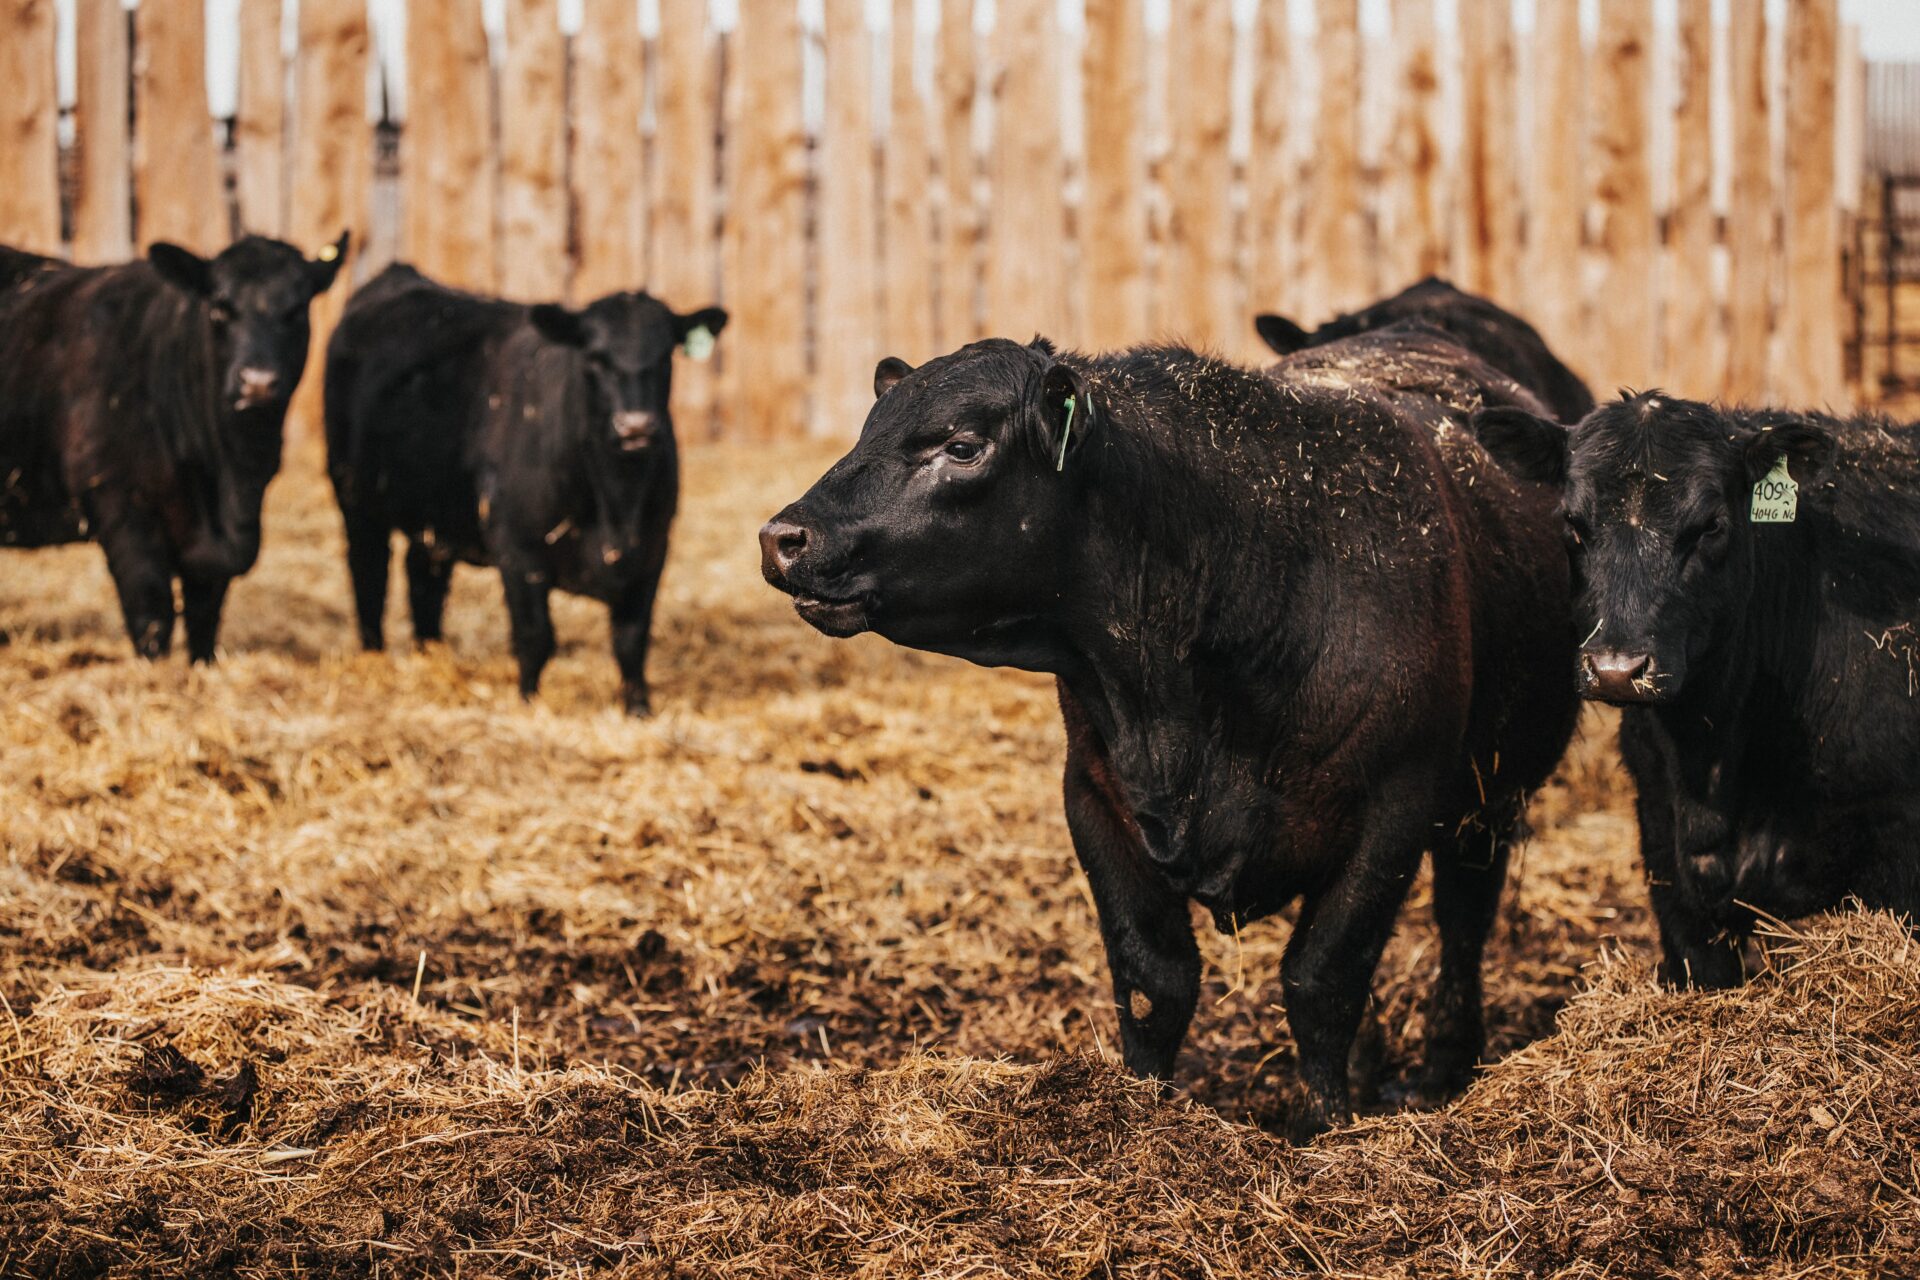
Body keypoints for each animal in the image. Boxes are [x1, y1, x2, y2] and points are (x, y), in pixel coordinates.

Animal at [0, 232, 349, 660]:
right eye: (219, 307)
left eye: (296, 310)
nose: (258, 383)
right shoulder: (121, 508)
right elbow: (152, 612)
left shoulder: (211, 553)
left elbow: (204, 618)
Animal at [323, 263, 726, 716]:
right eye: (595, 358)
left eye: (664, 357)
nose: (635, 426)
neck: (616, 502)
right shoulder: (518, 551)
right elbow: (536, 637)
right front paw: (528, 701)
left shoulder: (652, 551)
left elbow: (631, 641)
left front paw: (639, 709)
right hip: (355, 497)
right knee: (368, 572)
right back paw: (372, 654)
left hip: (435, 513)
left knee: (423, 577)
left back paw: (430, 652)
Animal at [760, 323, 1579, 1136]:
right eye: (868, 428)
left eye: (962, 446)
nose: (783, 536)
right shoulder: (1094, 796)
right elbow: (1155, 981)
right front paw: (1139, 1109)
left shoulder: (1395, 809)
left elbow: (1322, 979)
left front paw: (1324, 1125)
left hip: (1488, 801)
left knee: (1463, 920)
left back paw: (1444, 1067)